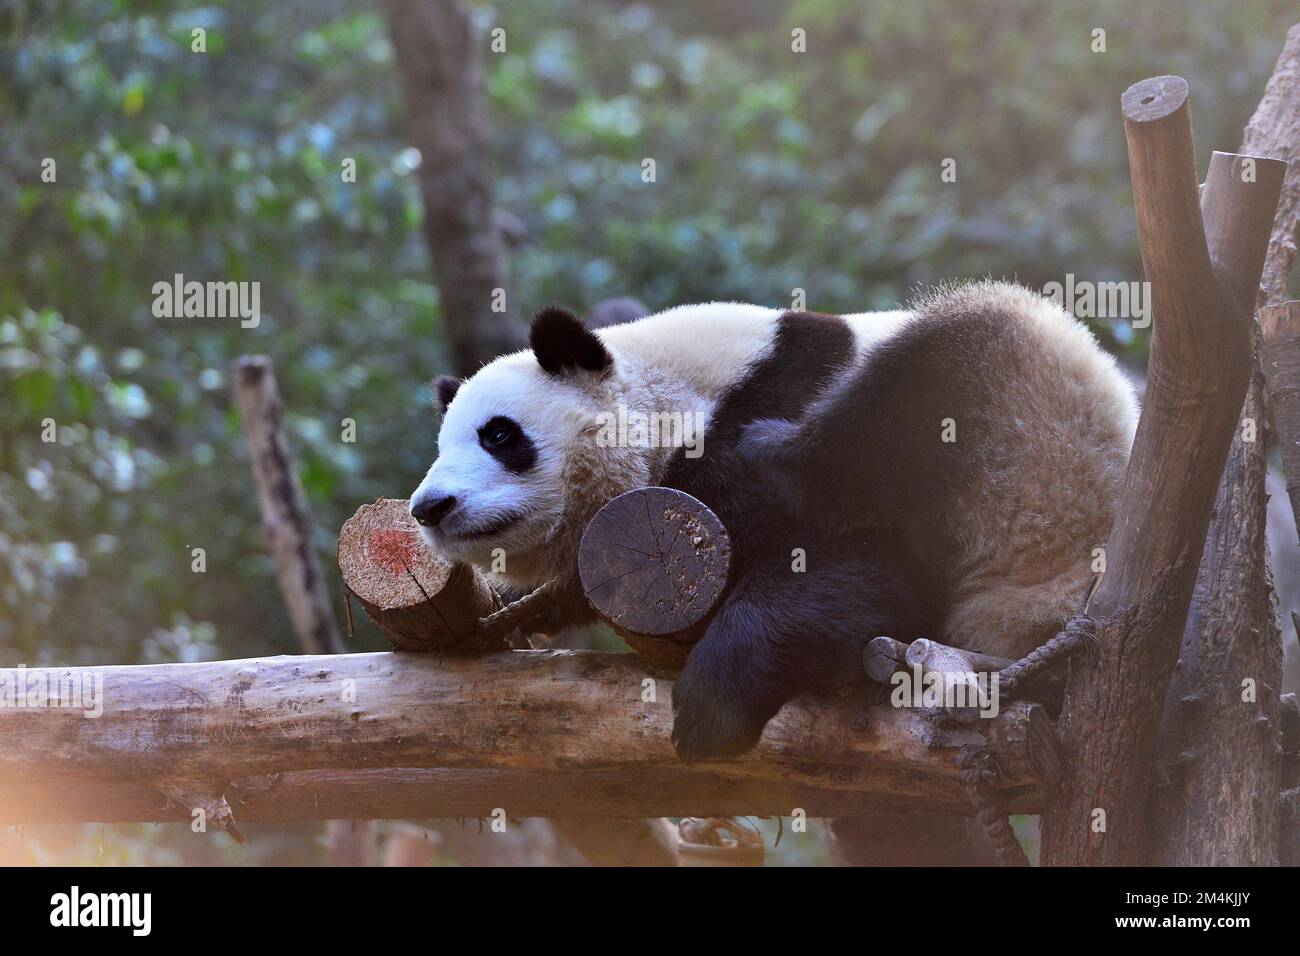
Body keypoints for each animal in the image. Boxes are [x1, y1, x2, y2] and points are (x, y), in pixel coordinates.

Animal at [410, 280, 1138, 760]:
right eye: (442, 443)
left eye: (499, 435)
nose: (429, 507)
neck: (670, 397)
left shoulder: (767, 397)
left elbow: (860, 570)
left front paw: (712, 708)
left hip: (1047, 456)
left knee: (962, 340)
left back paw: (782, 453)